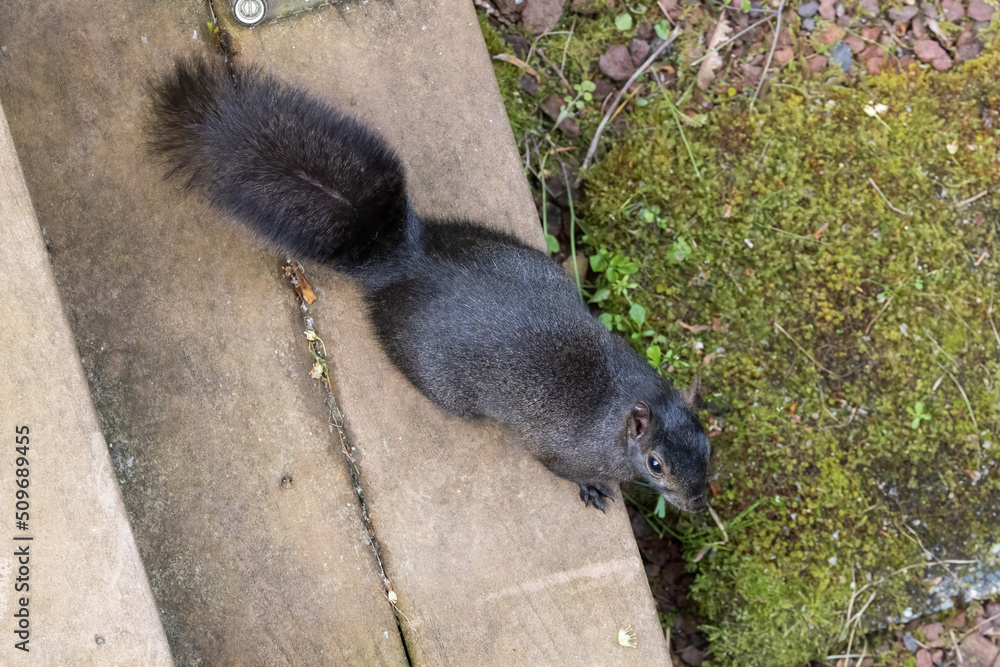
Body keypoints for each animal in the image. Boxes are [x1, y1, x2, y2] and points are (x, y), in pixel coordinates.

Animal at [148, 57, 711, 513]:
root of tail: (408, 262)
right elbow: (560, 467)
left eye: (708, 443)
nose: (700, 504)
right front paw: (593, 489)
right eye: (656, 464)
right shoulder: (559, 447)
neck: (625, 398)